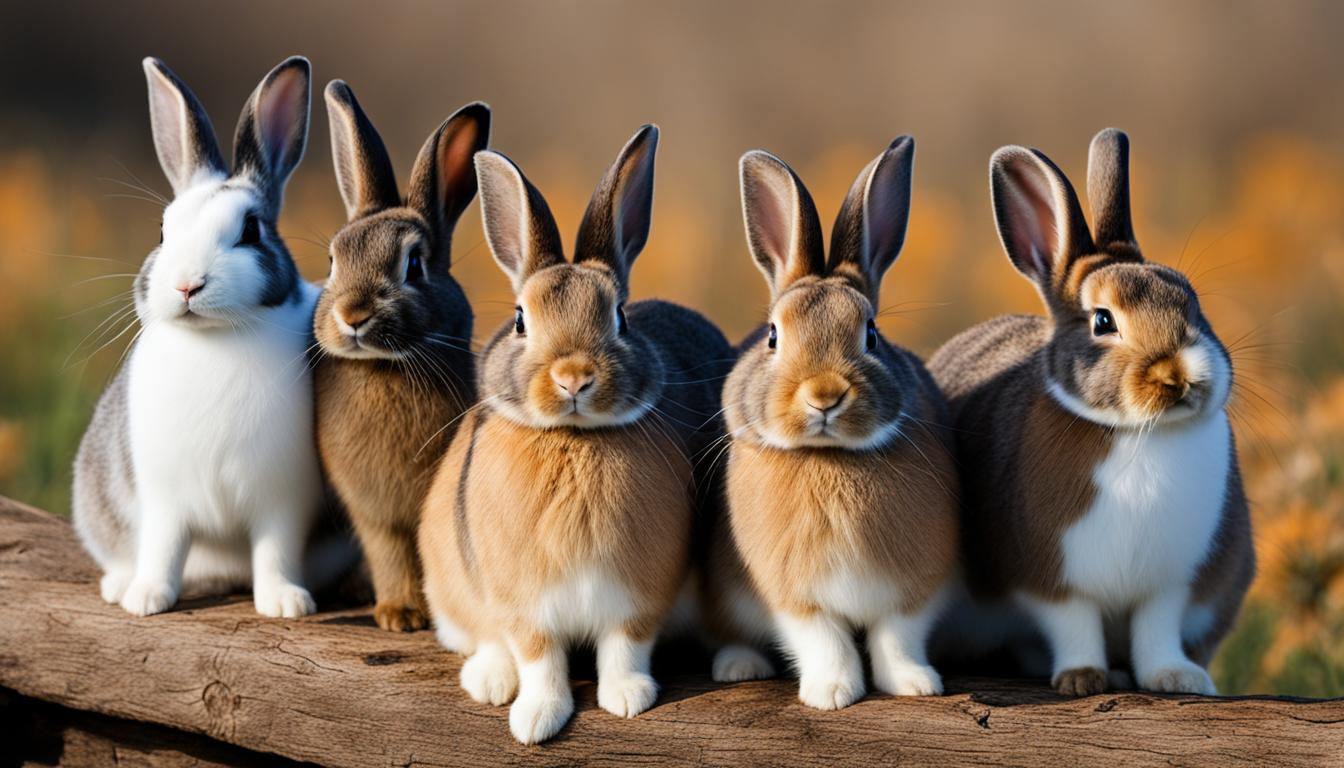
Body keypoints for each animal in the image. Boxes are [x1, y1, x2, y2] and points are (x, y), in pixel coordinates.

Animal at [72, 56, 357, 618]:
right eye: (163, 232)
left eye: (251, 231)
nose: (187, 284)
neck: (216, 337)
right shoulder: (164, 499)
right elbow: (163, 548)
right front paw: (147, 599)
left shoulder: (283, 500)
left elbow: (274, 551)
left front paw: (285, 603)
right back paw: (121, 585)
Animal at [313, 83, 487, 632]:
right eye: (333, 260)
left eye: (415, 264)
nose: (353, 314)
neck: (385, 368)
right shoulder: (372, 514)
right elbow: (389, 554)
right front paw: (399, 615)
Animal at [417, 125, 734, 744]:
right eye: (520, 319)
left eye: (621, 318)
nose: (573, 378)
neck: (573, 440)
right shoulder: (524, 605)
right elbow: (540, 659)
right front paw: (535, 721)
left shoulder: (638, 595)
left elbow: (624, 648)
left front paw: (627, 700)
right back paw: (490, 681)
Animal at [706, 138, 960, 711]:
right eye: (772, 336)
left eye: (872, 334)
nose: (824, 395)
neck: (831, 458)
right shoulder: (793, 594)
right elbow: (823, 640)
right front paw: (833, 693)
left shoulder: (915, 587)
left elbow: (897, 637)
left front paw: (914, 684)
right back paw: (738, 667)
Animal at [926, 129, 1255, 697]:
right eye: (1103, 321)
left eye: (1191, 302)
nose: (1182, 377)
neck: (1137, 431)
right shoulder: (1051, 579)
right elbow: (1073, 625)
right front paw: (1081, 679)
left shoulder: (1169, 583)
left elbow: (1156, 628)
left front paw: (1174, 677)